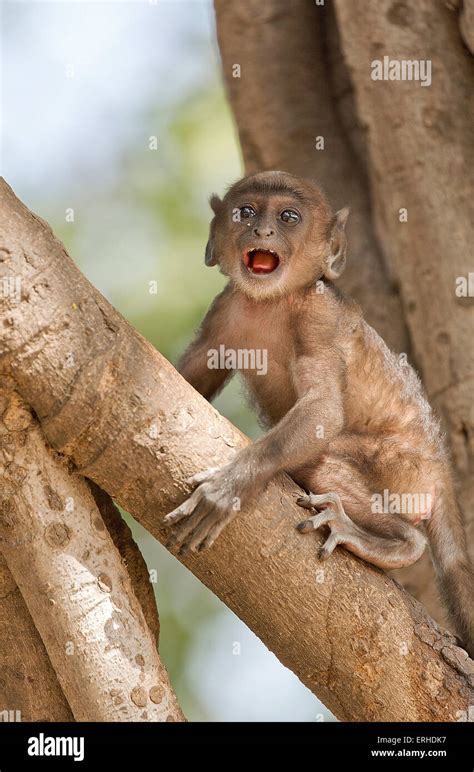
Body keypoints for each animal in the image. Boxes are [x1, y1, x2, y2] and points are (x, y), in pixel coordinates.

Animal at [164, 170, 474, 657]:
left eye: (288, 218)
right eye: (245, 212)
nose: (261, 232)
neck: (271, 302)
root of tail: (441, 464)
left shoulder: (319, 316)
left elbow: (324, 408)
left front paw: (230, 487)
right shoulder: (224, 309)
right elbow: (191, 376)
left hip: (405, 466)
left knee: (322, 462)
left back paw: (399, 542)